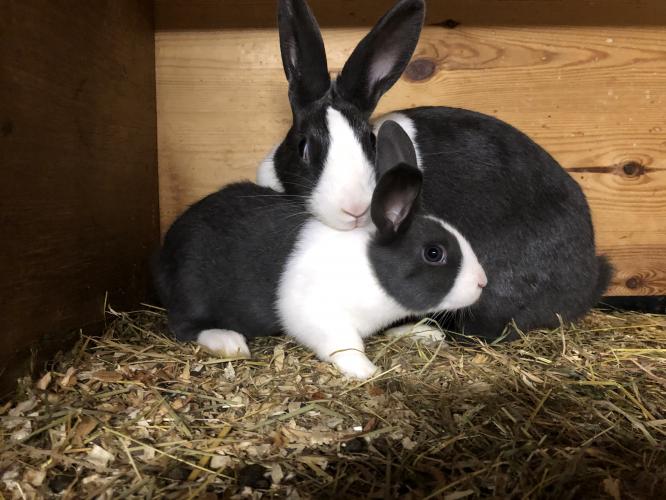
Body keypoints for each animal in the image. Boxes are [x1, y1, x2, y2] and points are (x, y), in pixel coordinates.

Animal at [155, 121, 487, 379]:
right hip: (192, 290)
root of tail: (164, 251)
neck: (370, 268)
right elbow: (345, 344)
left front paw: (424, 332)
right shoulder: (320, 315)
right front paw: (365, 369)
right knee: (183, 326)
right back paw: (229, 341)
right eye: (434, 253)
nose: (482, 282)